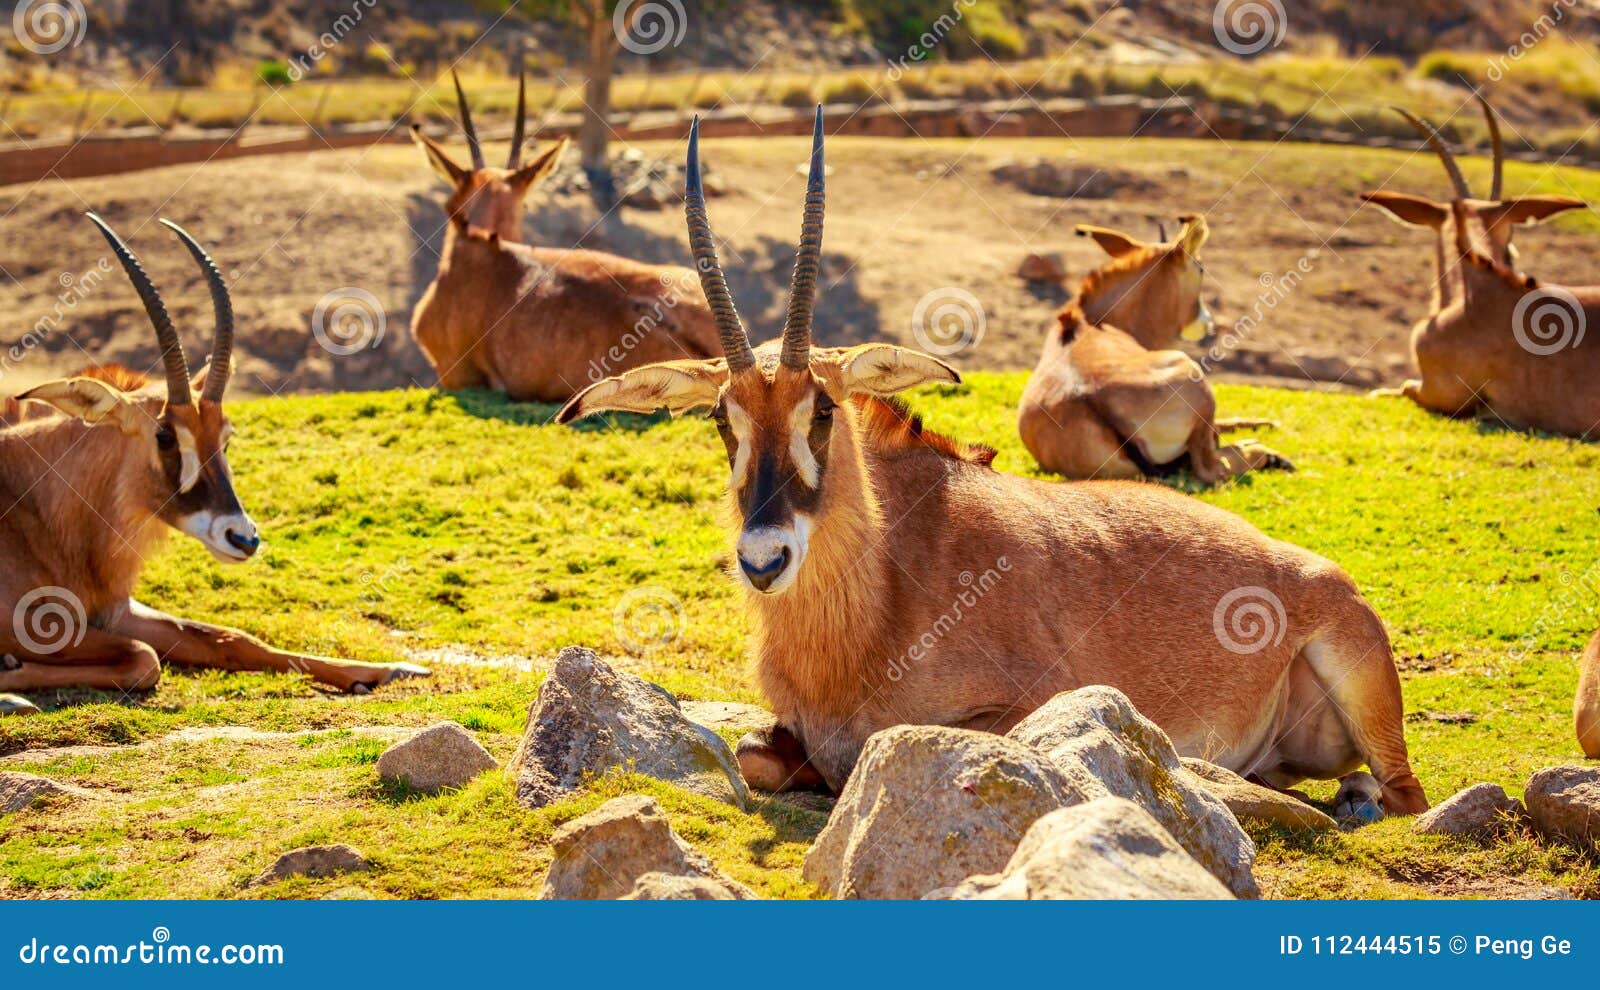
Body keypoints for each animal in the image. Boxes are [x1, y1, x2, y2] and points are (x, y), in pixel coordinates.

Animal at [0, 214, 428, 709]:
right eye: (164, 435)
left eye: (226, 437)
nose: (243, 538)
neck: (37, 509)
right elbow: (144, 657)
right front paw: (10, 682)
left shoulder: (116, 609)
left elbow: (230, 638)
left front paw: (386, 669)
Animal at [1017, 216, 1292, 482]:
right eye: (1200, 268)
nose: (1208, 321)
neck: (1088, 322)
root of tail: (1094, 401)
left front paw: (1269, 423)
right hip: (1192, 374)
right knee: (1211, 469)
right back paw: (1268, 455)